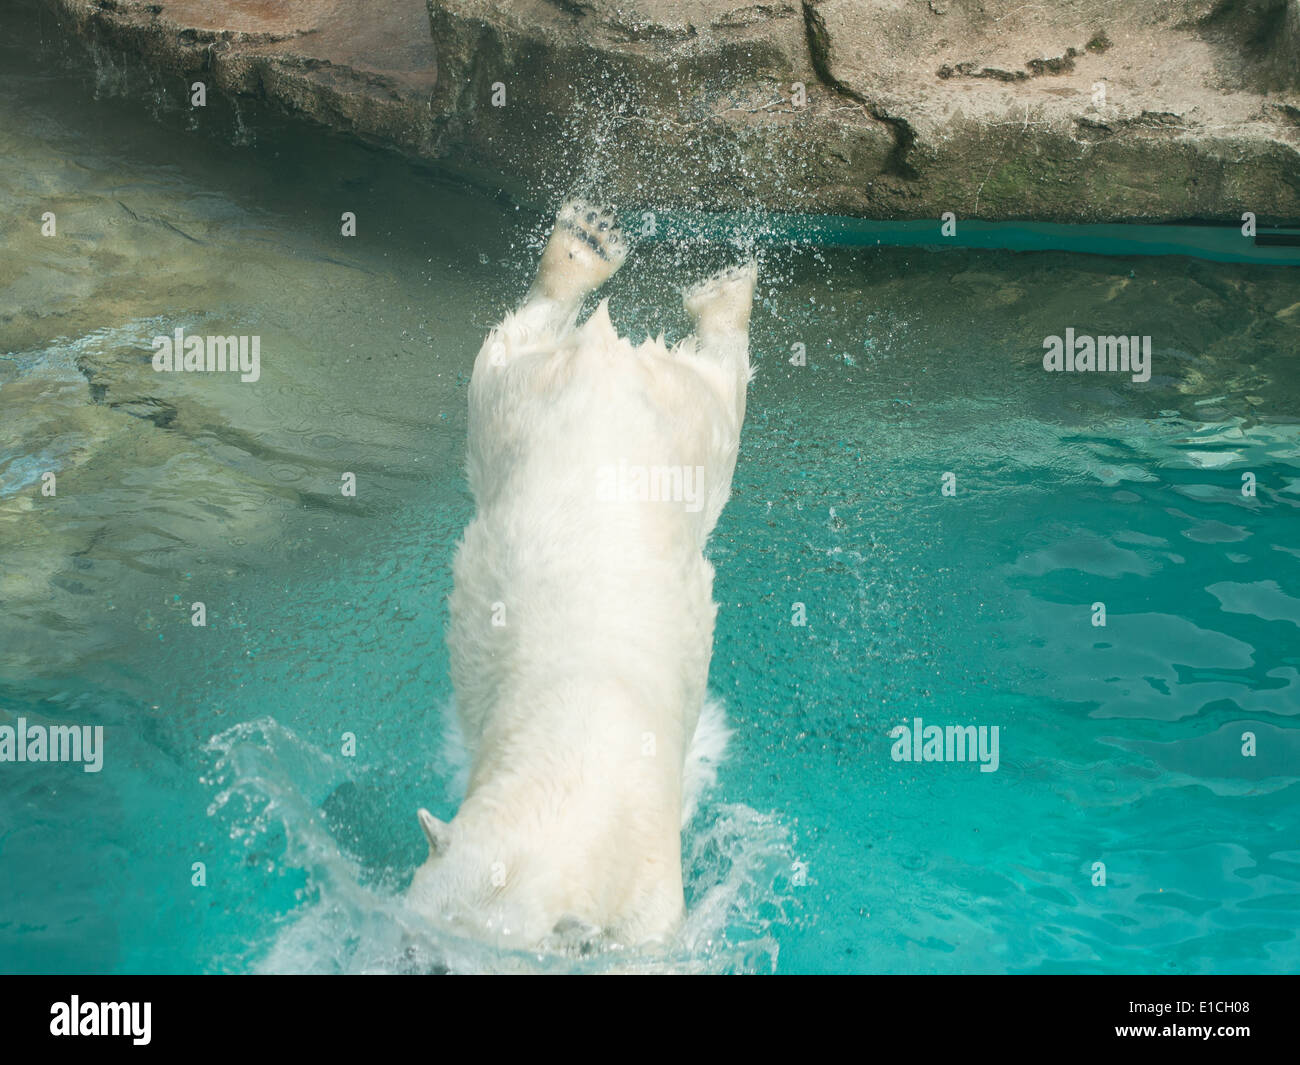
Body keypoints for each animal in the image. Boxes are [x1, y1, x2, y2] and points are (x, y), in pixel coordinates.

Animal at [408, 200, 756, 951]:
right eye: (409, 938)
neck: (572, 766)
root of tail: (606, 363)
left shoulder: (654, 883)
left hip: (672, 429)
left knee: (720, 391)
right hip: (524, 404)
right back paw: (588, 245)